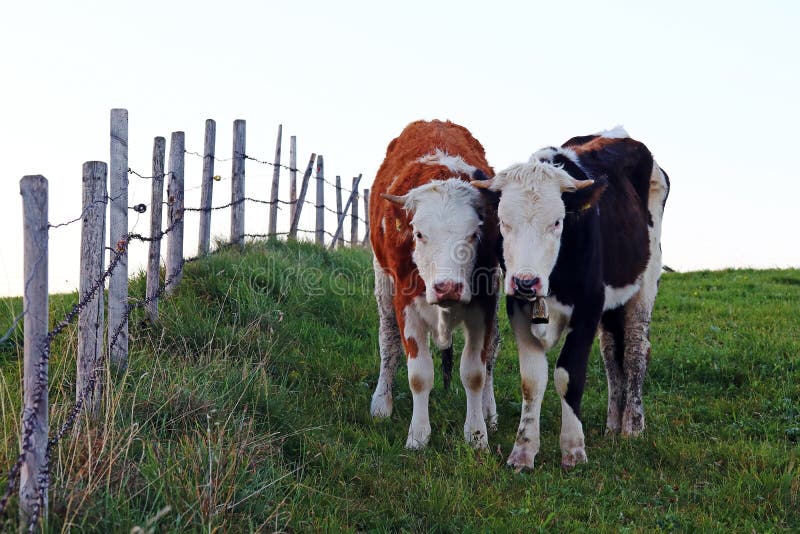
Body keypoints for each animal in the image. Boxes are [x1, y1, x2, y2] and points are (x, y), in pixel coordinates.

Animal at [369, 120, 502, 450]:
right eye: (418, 234)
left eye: (474, 234)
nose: (448, 287)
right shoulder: (405, 304)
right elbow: (419, 375)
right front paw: (418, 436)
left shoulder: (484, 303)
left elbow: (475, 372)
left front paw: (477, 434)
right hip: (383, 285)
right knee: (388, 342)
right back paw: (381, 402)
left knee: (492, 353)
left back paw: (489, 411)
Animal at [472, 127, 669, 469]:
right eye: (504, 222)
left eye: (557, 222)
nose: (526, 281)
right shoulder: (518, 308)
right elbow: (532, 380)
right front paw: (523, 452)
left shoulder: (589, 305)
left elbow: (569, 375)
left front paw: (574, 450)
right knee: (612, 354)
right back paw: (613, 425)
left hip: (644, 284)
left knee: (635, 350)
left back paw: (632, 427)